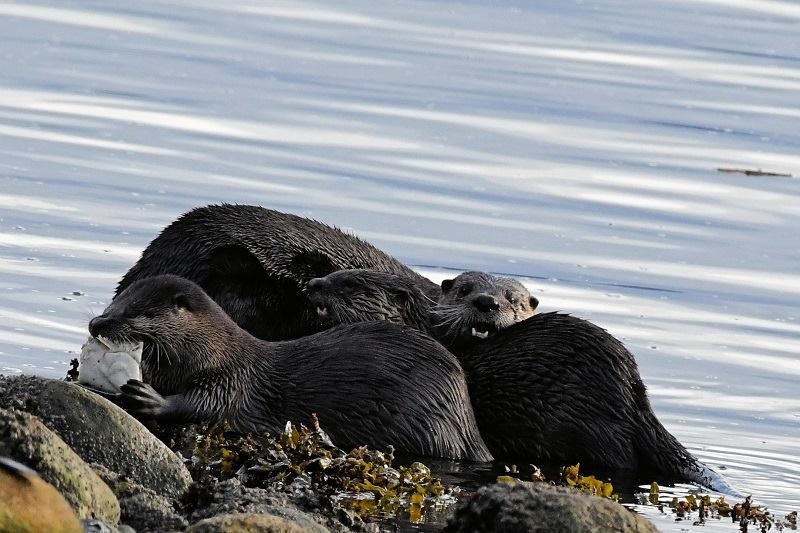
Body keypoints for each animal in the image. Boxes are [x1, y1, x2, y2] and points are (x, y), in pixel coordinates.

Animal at [89, 275, 492, 462]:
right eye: (115, 301)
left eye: (135, 312)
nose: (95, 323)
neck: (212, 351)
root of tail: (468, 425)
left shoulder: (232, 379)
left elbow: (206, 405)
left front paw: (150, 397)